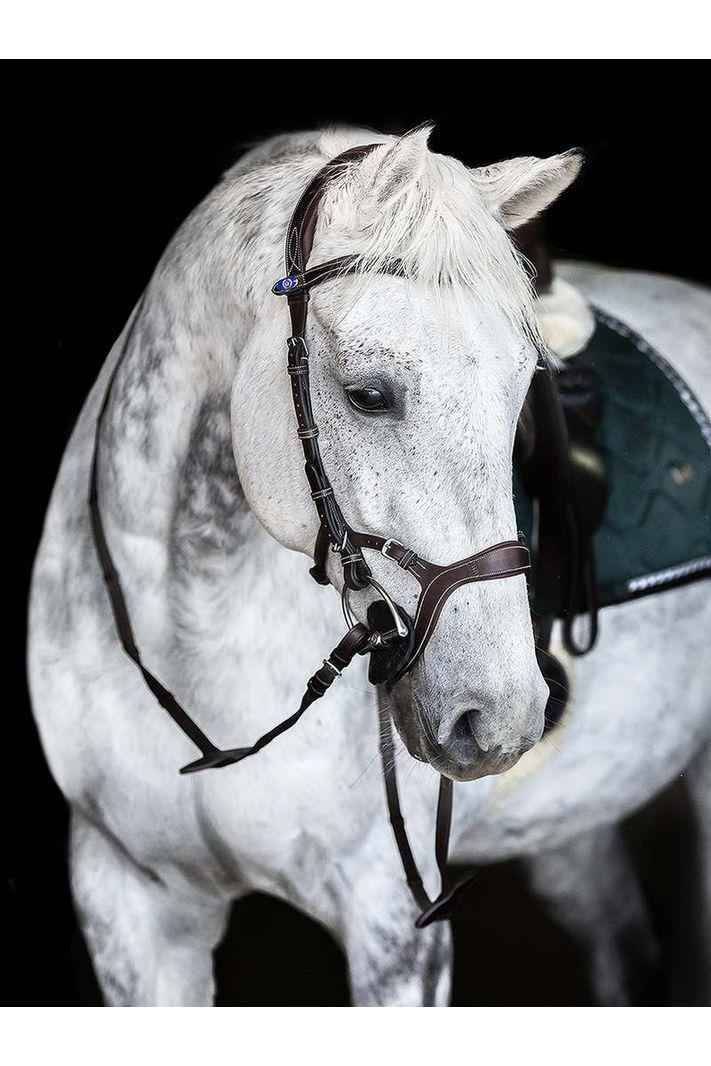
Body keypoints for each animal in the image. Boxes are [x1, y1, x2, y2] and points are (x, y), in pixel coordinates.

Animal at [28, 125, 711, 1006]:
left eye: (522, 389)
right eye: (368, 394)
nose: (501, 717)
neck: (194, 625)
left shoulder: (392, 923)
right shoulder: (127, 905)